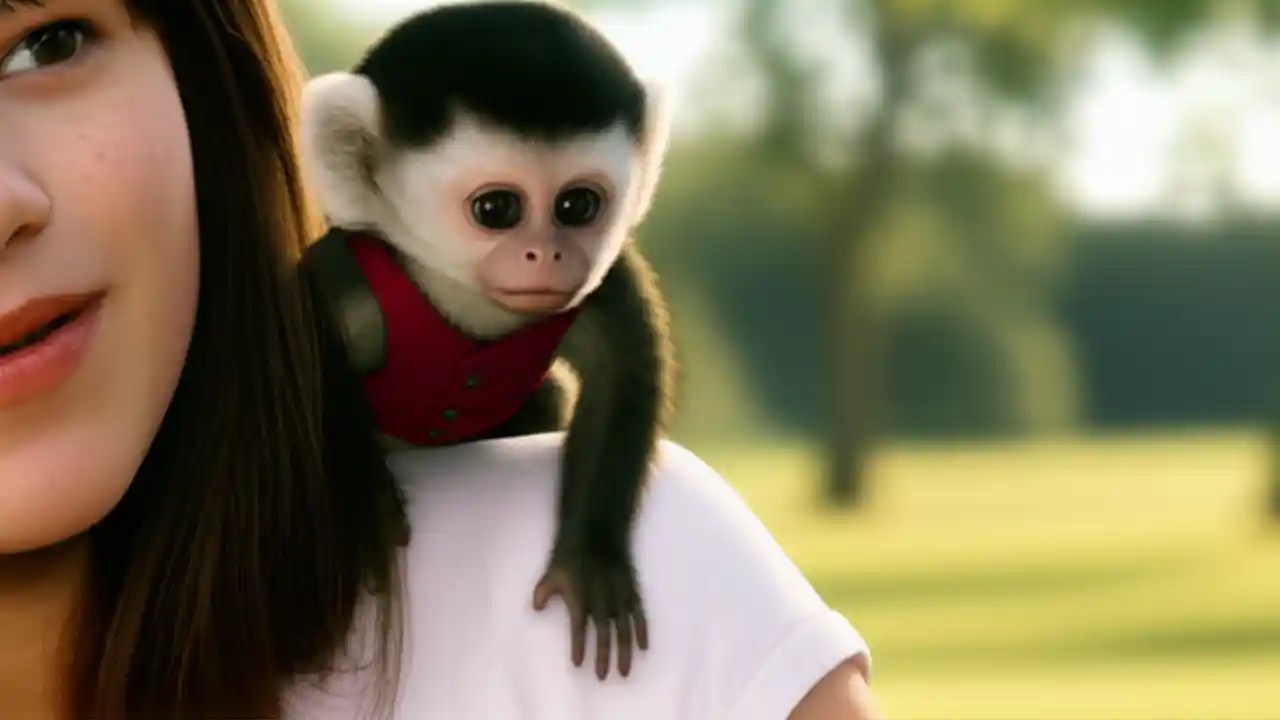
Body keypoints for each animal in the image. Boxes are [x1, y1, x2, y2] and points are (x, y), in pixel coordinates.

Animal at [296, 0, 676, 681]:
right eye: (496, 209)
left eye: (578, 206)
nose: (547, 255)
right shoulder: (343, 281)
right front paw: (366, 507)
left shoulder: (605, 279)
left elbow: (623, 371)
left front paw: (591, 559)